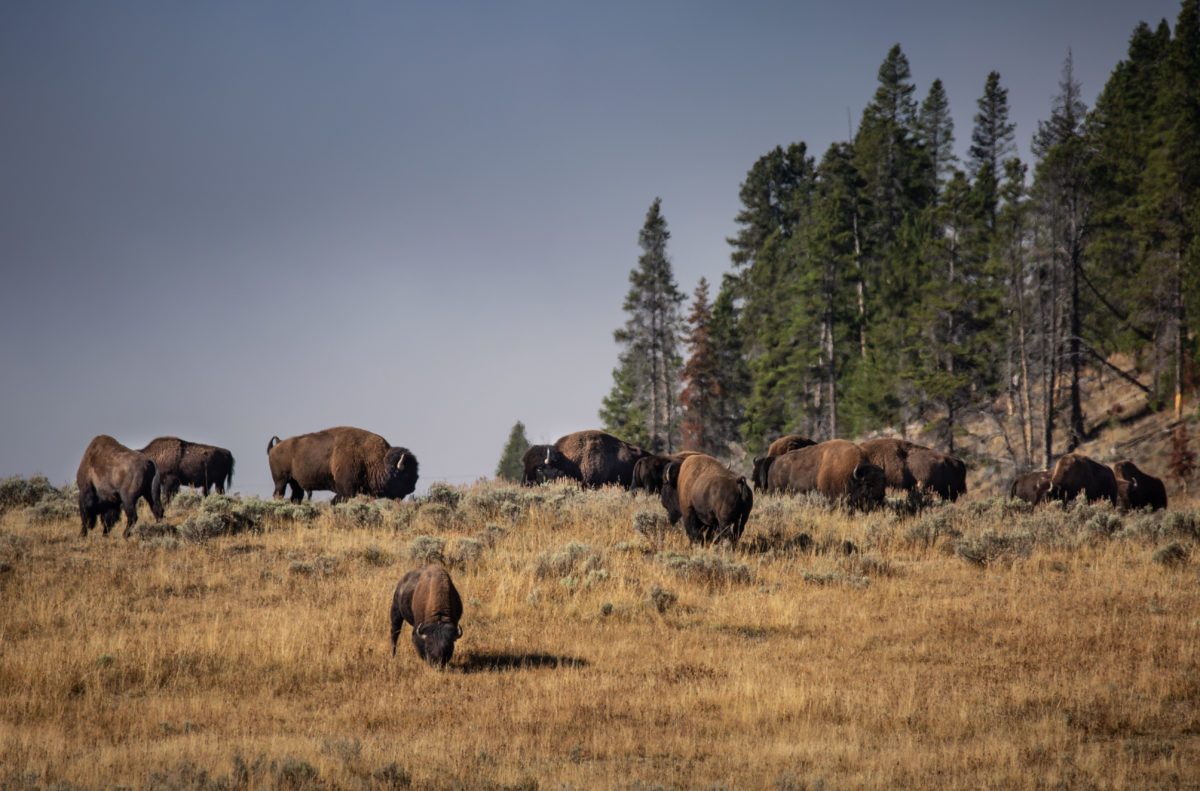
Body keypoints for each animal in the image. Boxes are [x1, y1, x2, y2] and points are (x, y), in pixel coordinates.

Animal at [267, 426, 418, 503]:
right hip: (281, 480)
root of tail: (277, 444)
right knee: (278, 494)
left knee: (296, 497)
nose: (412, 488)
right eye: (406, 474)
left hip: (295, 483)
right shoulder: (346, 490)